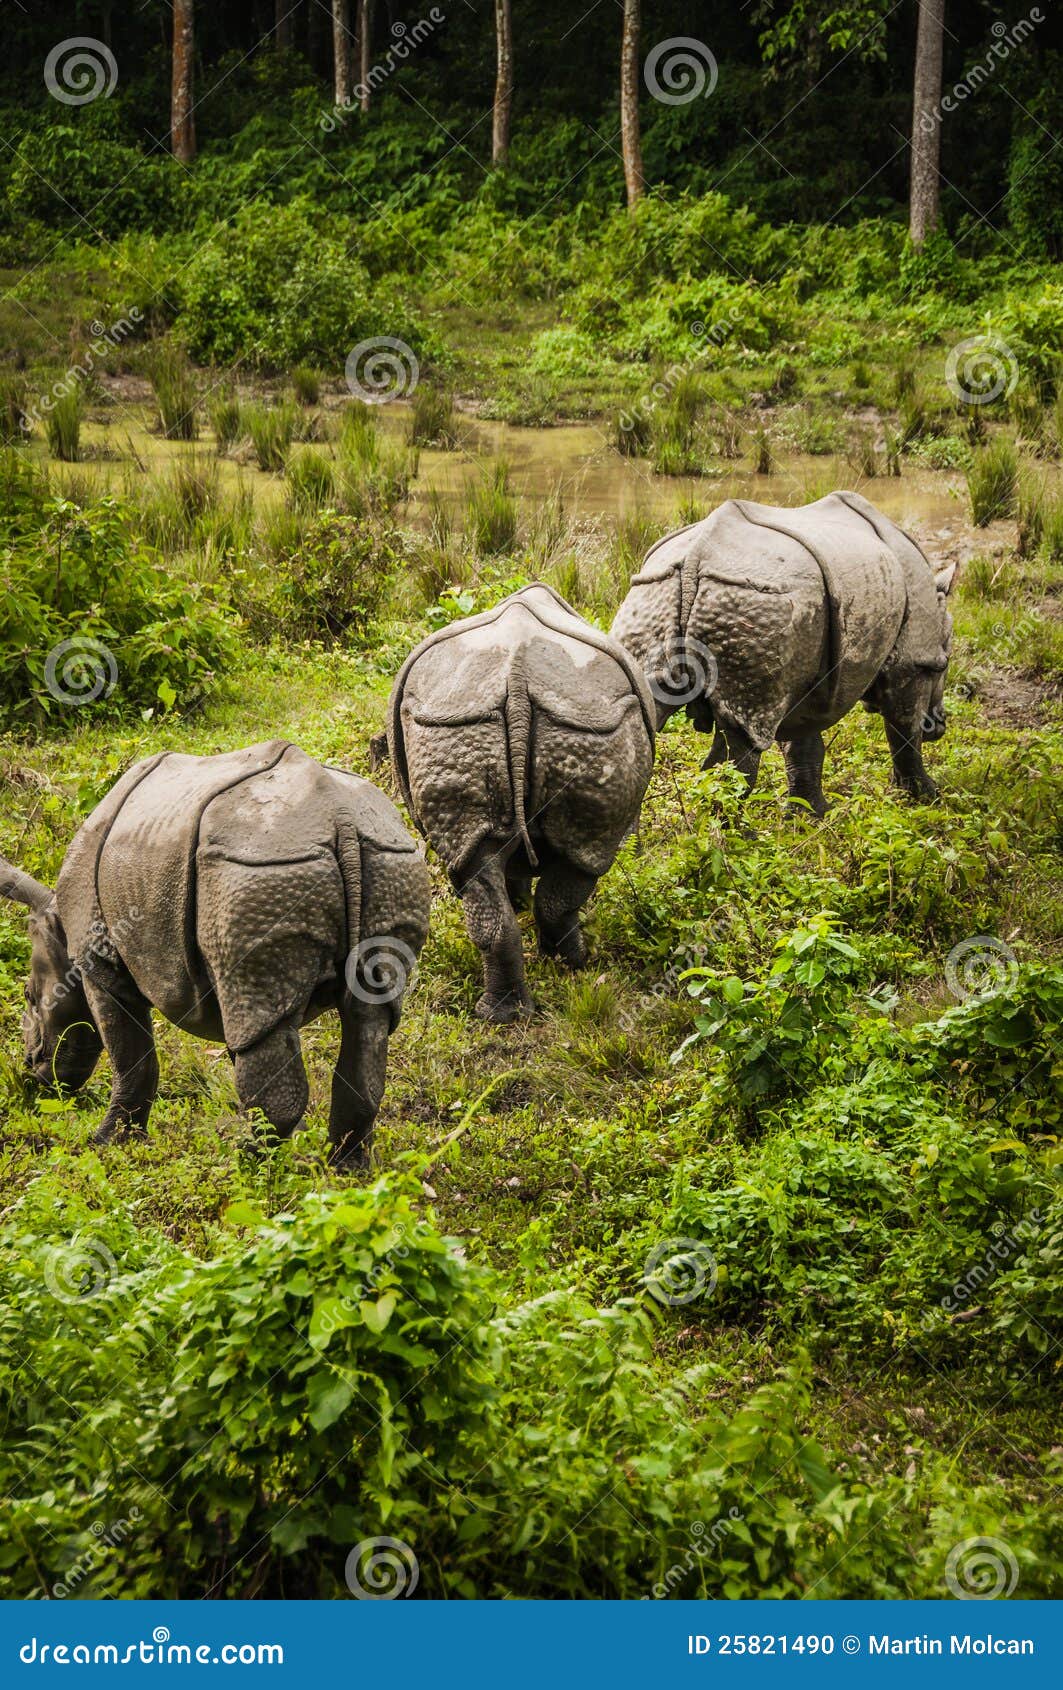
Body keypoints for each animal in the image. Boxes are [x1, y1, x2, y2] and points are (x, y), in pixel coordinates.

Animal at [1, 741, 430, 1167]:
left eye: (28, 996)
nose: (32, 1071)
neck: (59, 921)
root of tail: (340, 817)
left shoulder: (99, 962)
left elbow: (131, 1055)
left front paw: (108, 1145)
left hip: (258, 870)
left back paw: (247, 1163)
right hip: (390, 859)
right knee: (367, 1016)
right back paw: (346, 1168)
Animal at [381, 583, 655, 1023]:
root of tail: (516, 678)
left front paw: (518, 900)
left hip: (455, 726)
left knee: (474, 866)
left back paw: (502, 1014)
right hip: (589, 726)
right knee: (588, 861)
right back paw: (576, 966)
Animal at [611, 491, 957, 814]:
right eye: (943, 664)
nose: (939, 725)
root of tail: (694, 562)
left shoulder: (803, 666)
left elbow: (803, 744)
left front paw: (810, 814)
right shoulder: (913, 659)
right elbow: (904, 728)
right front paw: (925, 798)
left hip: (656, 593)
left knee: (649, 705)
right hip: (754, 599)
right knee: (745, 739)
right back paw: (738, 835)